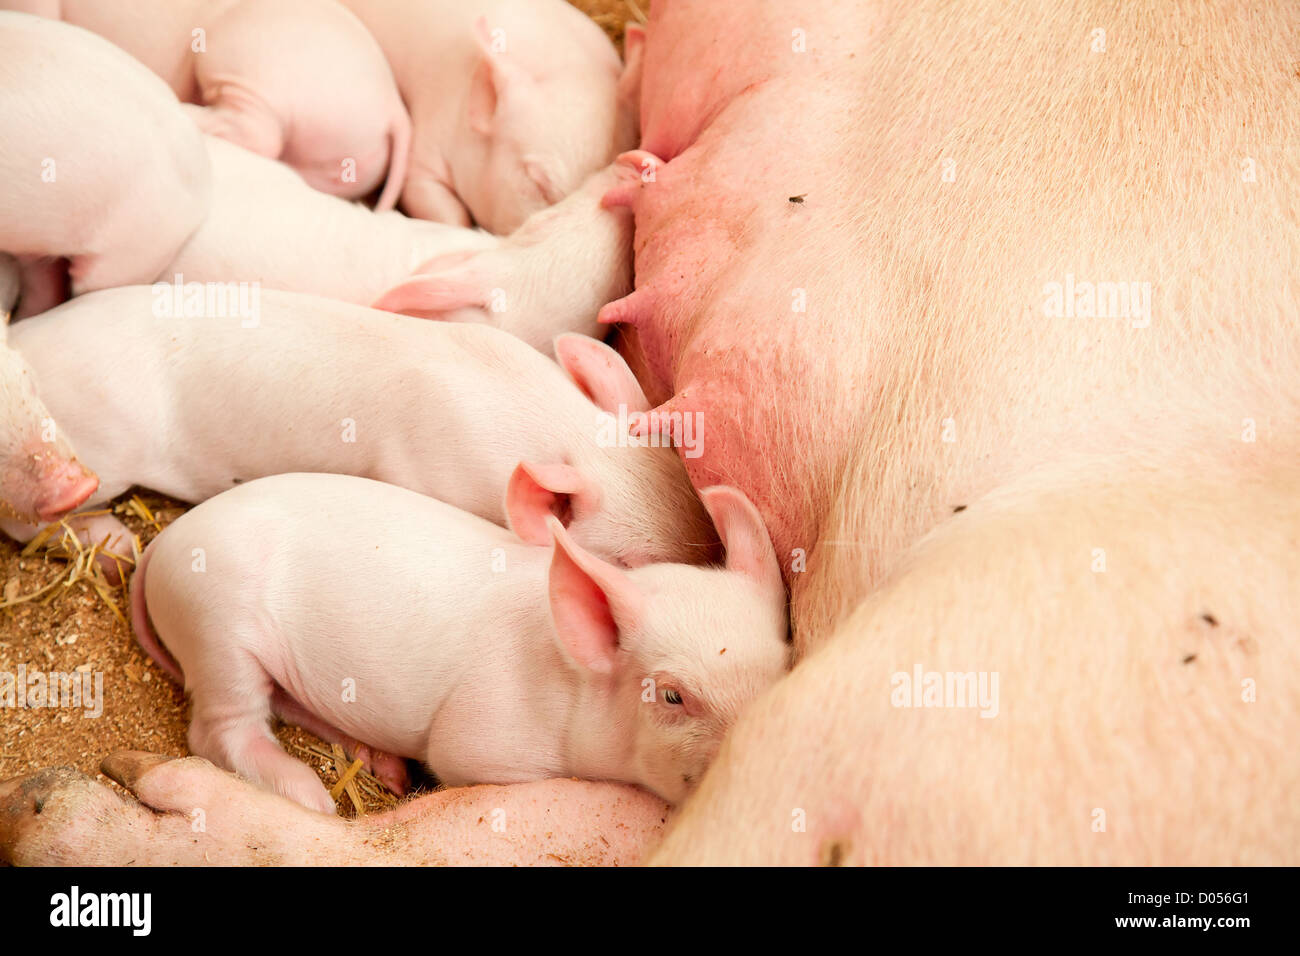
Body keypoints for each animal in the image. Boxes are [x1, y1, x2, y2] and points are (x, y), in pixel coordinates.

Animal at [130, 472, 789, 812]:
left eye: (784, 665)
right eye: (673, 696)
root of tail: (163, 544)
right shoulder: (479, 740)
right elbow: (455, 759)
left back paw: (389, 771)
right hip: (217, 628)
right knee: (220, 728)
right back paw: (313, 799)